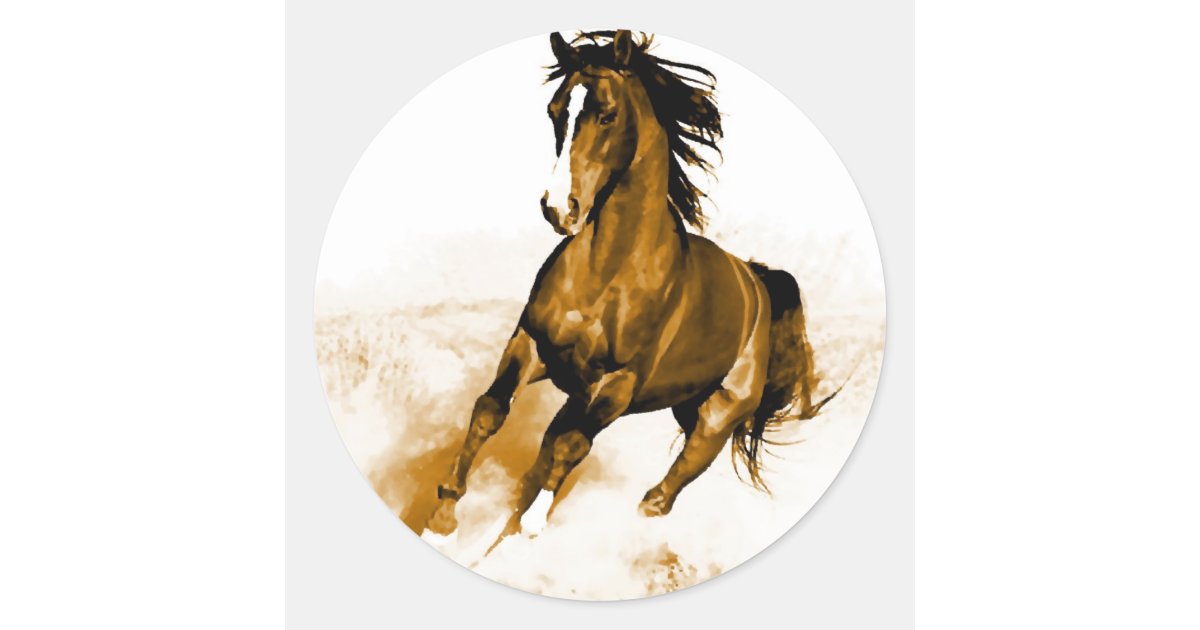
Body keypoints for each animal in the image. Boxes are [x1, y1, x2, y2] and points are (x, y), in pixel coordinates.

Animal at [426, 30, 832, 539]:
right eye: (555, 111)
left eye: (607, 114)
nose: (559, 209)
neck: (607, 274)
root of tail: (756, 281)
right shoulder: (534, 345)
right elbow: (491, 410)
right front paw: (443, 514)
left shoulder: (618, 384)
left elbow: (571, 446)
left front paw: (534, 524)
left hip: (714, 417)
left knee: (663, 490)